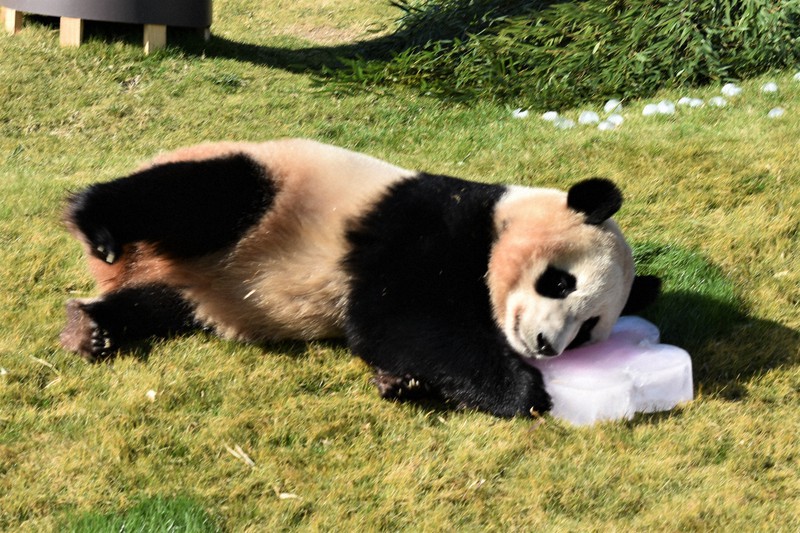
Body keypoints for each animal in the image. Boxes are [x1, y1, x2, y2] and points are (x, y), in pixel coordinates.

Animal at [60, 138, 660, 417]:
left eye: (587, 330)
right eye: (559, 283)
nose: (545, 345)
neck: (496, 223)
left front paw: (403, 384)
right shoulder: (426, 228)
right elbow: (400, 318)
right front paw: (525, 390)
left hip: (201, 285)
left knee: (163, 302)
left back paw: (91, 327)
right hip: (259, 189)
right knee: (198, 195)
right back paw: (97, 222)